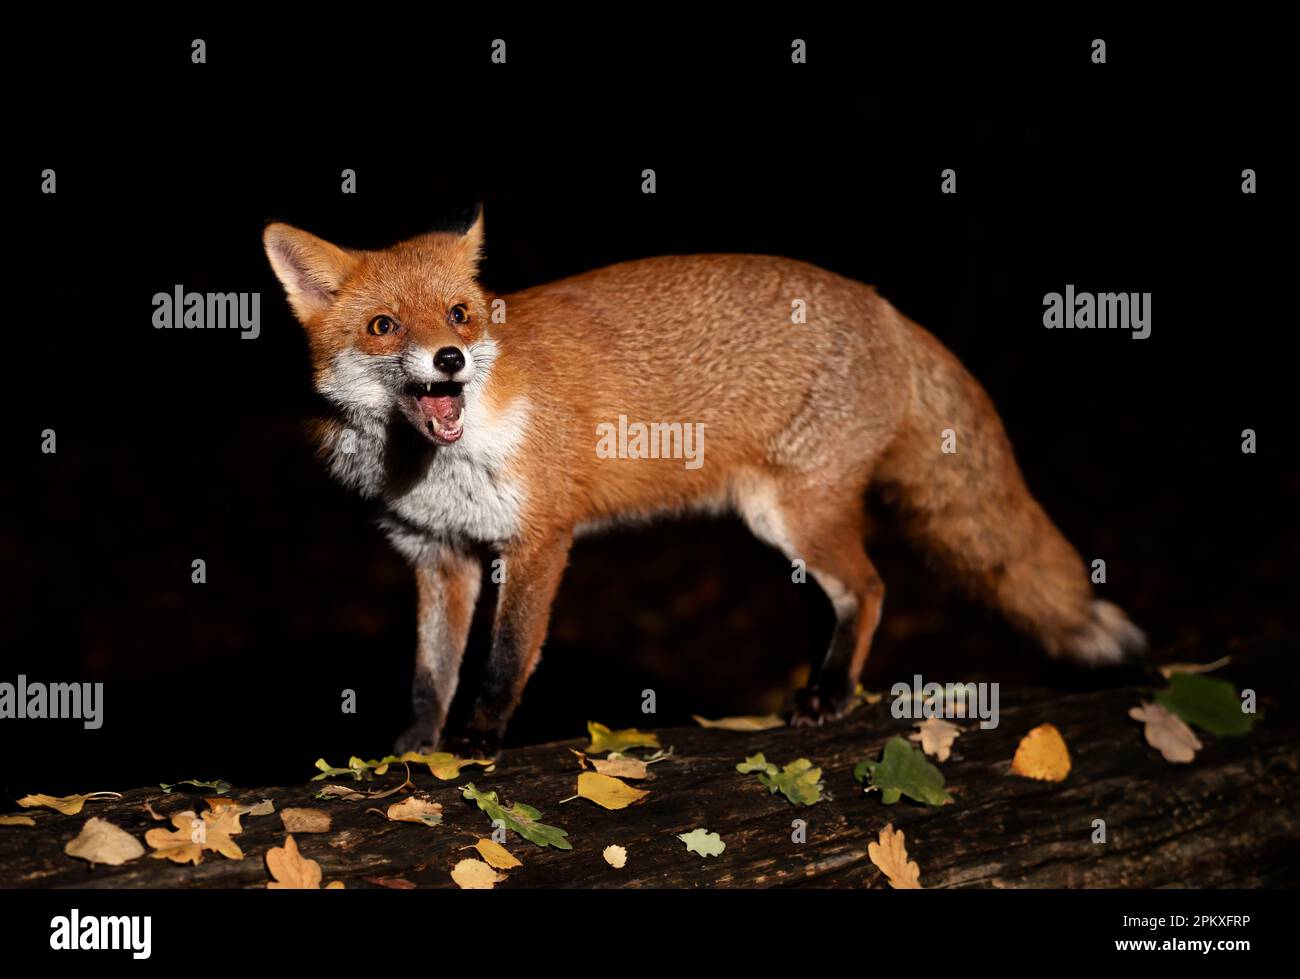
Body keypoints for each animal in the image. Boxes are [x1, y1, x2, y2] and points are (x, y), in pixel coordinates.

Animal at [263, 209, 1146, 758]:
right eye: (384, 326)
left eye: (459, 315)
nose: (448, 360)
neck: (437, 459)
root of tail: (885, 307)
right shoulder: (438, 552)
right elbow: (430, 672)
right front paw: (417, 749)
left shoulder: (540, 536)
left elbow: (505, 657)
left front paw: (482, 738)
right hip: (787, 534)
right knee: (839, 602)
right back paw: (822, 682)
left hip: (795, 513)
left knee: (872, 587)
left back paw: (830, 693)